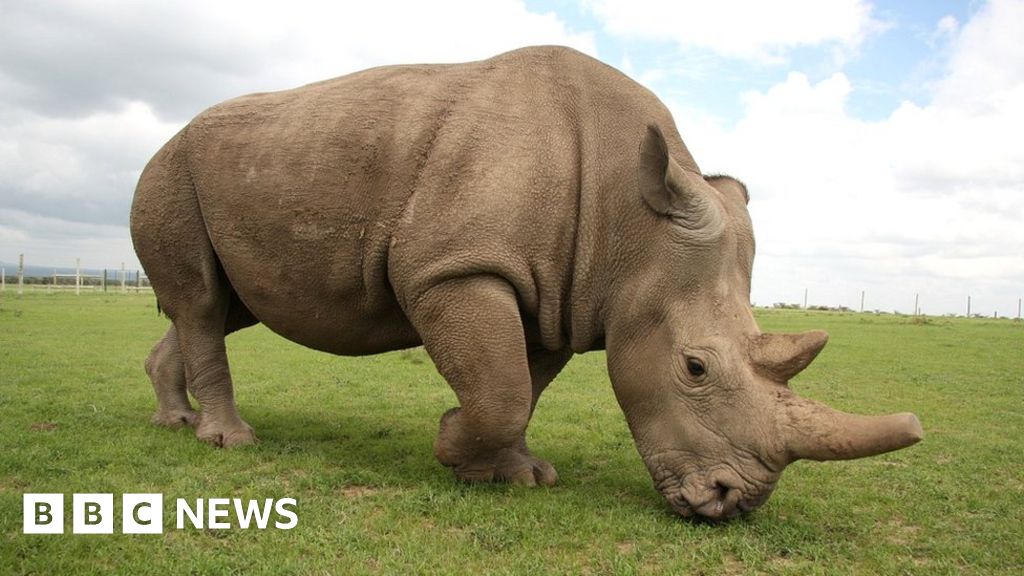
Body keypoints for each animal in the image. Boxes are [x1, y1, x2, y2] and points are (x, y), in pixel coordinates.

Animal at [131, 46, 922, 520]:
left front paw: (513, 476)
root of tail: (168, 138)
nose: (732, 504)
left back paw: (174, 422)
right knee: (202, 300)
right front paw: (453, 443)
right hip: (172, 167)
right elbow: (502, 387)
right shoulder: (455, 265)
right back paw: (230, 443)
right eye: (695, 367)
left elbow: (521, 383)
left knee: (225, 308)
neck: (629, 219)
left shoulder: (562, 294)